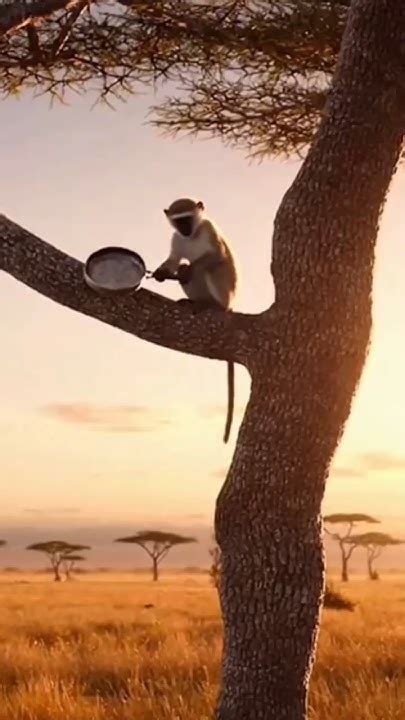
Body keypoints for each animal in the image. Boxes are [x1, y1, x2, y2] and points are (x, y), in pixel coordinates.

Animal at [153, 198, 238, 443]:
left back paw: (212, 305)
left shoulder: (209, 229)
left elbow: (217, 255)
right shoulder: (176, 238)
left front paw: (189, 269)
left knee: (210, 267)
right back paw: (193, 301)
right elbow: (174, 260)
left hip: (225, 290)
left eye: (188, 218)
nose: (185, 229)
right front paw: (161, 272)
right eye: (178, 221)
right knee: (184, 268)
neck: (191, 237)